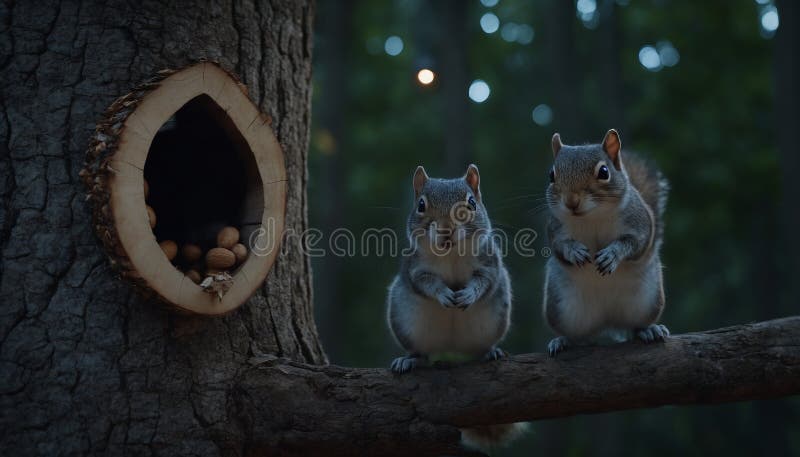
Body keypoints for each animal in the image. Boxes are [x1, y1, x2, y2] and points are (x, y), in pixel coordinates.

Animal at [386, 164, 525, 449]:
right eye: (421, 205)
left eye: (471, 203)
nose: (446, 230)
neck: (450, 253)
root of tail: (452, 349)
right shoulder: (416, 268)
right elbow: (426, 283)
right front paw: (443, 294)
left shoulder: (489, 263)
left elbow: (484, 282)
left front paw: (468, 294)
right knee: (422, 353)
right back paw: (410, 360)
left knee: (479, 350)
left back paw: (490, 352)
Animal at [543, 129, 670, 356]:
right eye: (551, 175)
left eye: (604, 172)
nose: (571, 202)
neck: (592, 216)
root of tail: (607, 320)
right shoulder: (555, 229)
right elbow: (560, 247)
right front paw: (574, 251)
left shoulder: (639, 224)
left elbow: (633, 243)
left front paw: (612, 255)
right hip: (562, 309)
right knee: (579, 336)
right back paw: (563, 341)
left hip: (647, 301)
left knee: (635, 326)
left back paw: (648, 330)